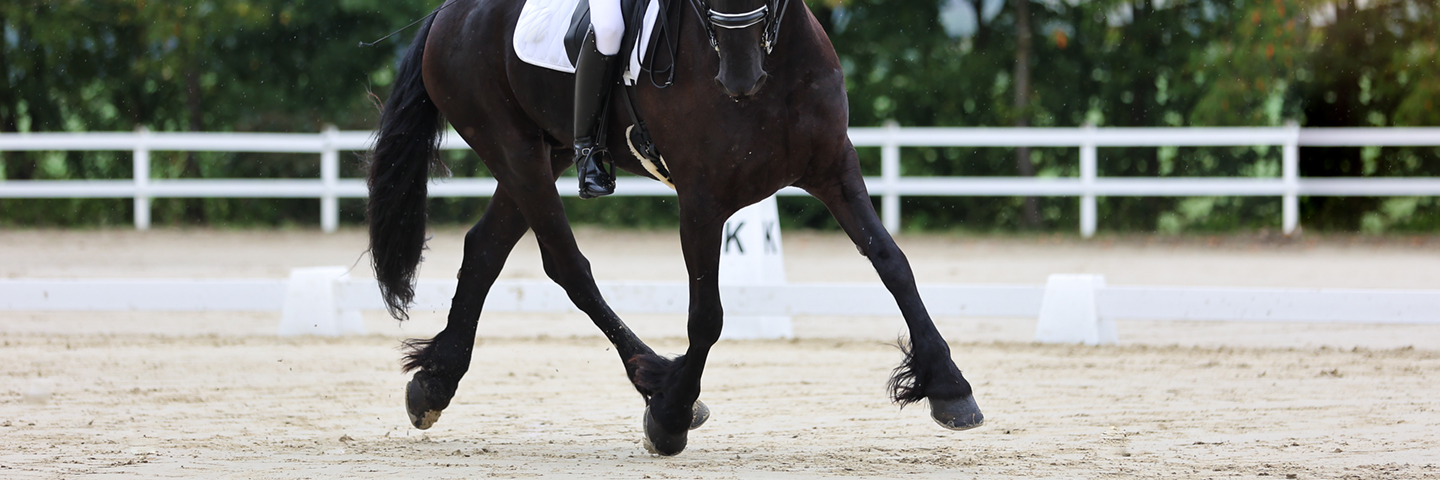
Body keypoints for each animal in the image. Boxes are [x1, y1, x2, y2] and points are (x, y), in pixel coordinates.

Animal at [366, 0, 984, 456]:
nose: (738, 76)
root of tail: (448, 11)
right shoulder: (702, 200)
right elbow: (707, 315)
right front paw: (669, 417)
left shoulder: (835, 167)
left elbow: (893, 264)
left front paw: (950, 387)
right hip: (511, 148)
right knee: (566, 264)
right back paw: (653, 378)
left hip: (548, 148)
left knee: (485, 249)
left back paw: (434, 382)